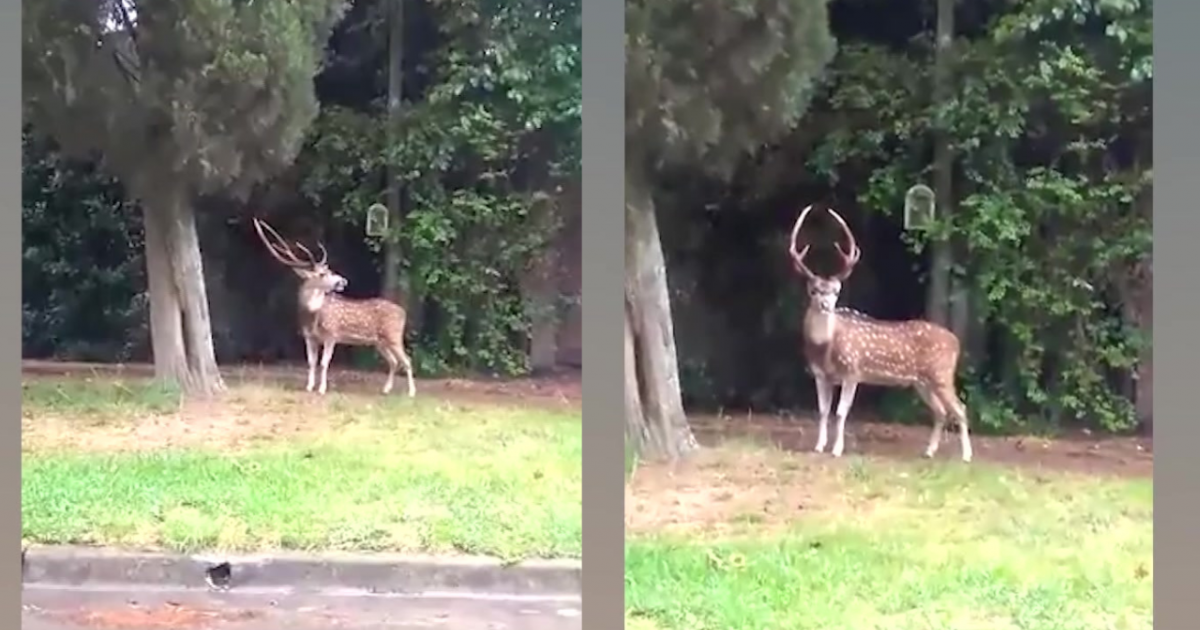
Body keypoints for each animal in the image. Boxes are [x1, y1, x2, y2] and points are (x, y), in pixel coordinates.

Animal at [251, 217, 416, 398]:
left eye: (329, 270)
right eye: (323, 274)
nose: (343, 281)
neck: (312, 316)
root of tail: (403, 312)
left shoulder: (332, 334)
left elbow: (324, 363)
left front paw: (322, 389)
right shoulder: (309, 337)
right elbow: (311, 362)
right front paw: (309, 387)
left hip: (394, 335)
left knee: (407, 360)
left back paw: (411, 393)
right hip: (380, 341)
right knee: (393, 361)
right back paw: (386, 390)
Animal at [787, 204, 973, 463]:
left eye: (835, 291)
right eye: (814, 290)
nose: (826, 306)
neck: (825, 348)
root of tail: (956, 341)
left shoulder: (852, 371)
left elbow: (841, 412)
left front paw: (837, 449)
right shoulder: (820, 375)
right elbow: (823, 411)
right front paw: (819, 446)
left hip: (942, 373)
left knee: (960, 408)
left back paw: (966, 456)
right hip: (922, 381)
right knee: (941, 411)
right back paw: (929, 451)